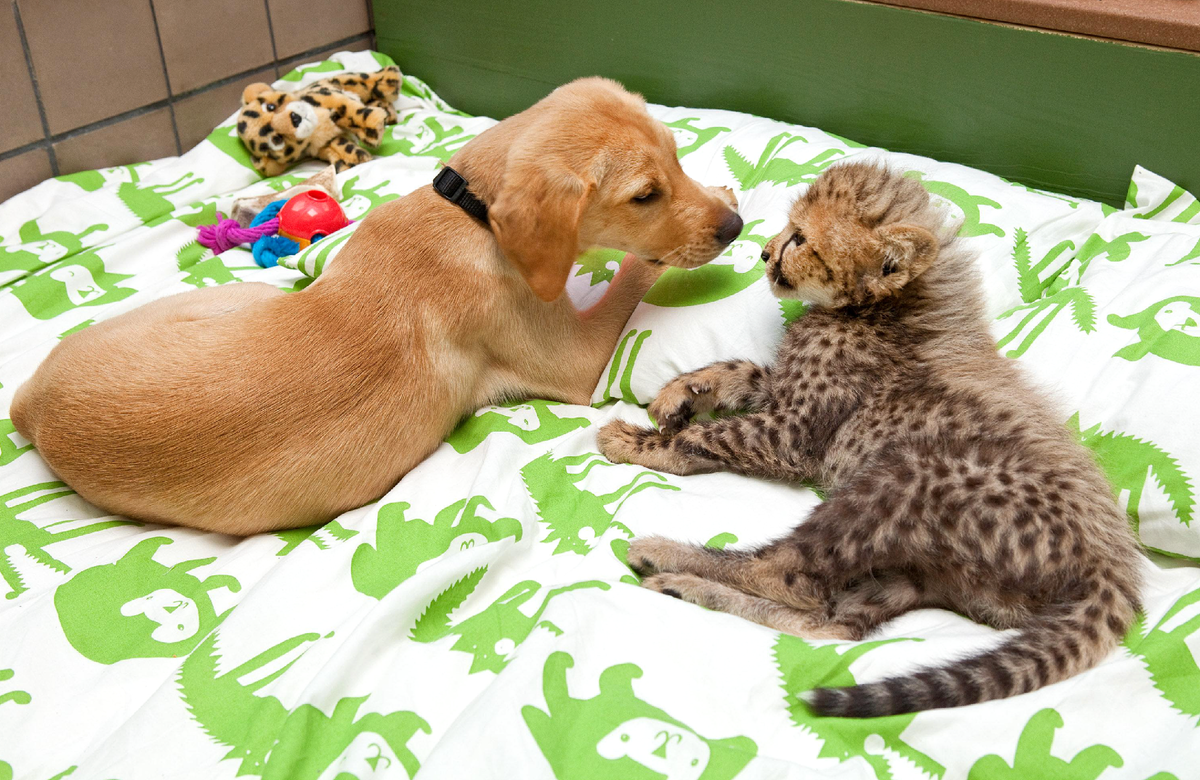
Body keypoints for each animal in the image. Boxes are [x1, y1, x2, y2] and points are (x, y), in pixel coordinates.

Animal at [11, 79, 739, 530]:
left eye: (678, 158)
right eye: (645, 196)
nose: (733, 226)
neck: (469, 211)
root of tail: (30, 406)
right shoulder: (578, 362)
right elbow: (627, 278)